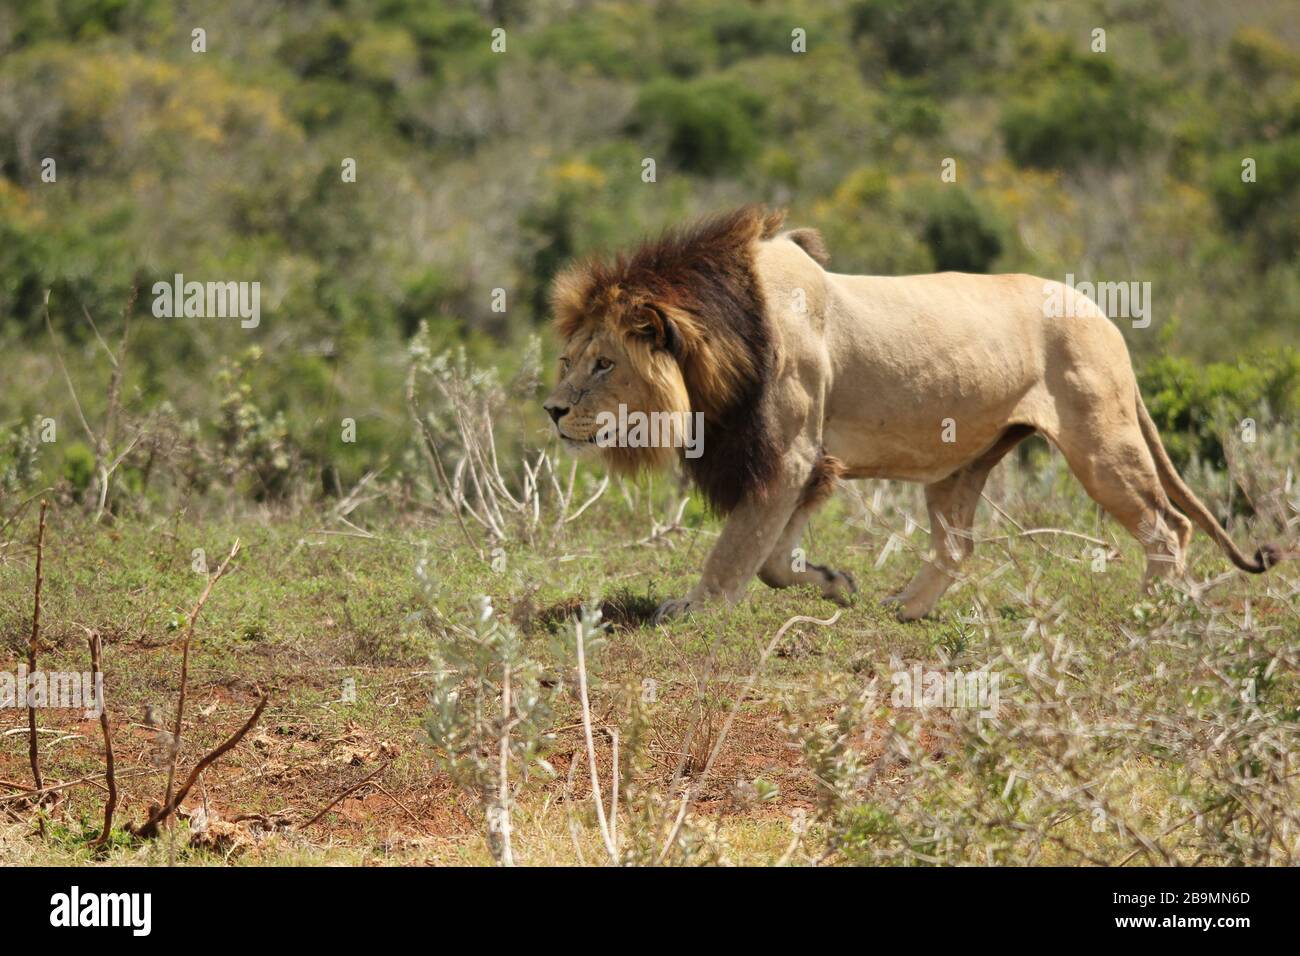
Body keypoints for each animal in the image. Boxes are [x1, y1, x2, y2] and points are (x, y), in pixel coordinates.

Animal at [543, 206, 1283, 622]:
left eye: (604, 364)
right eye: (567, 359)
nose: (551, 409)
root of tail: (1106, 317)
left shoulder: (787, 453)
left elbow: (736, 550)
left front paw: (697, 609)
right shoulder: (812, 464)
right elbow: (774, 557)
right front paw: (836, 583)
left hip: (1100, 440)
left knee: (1169, 525)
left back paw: (1150, 607)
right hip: (964, 463)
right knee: (958, 547)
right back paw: (903, 608)